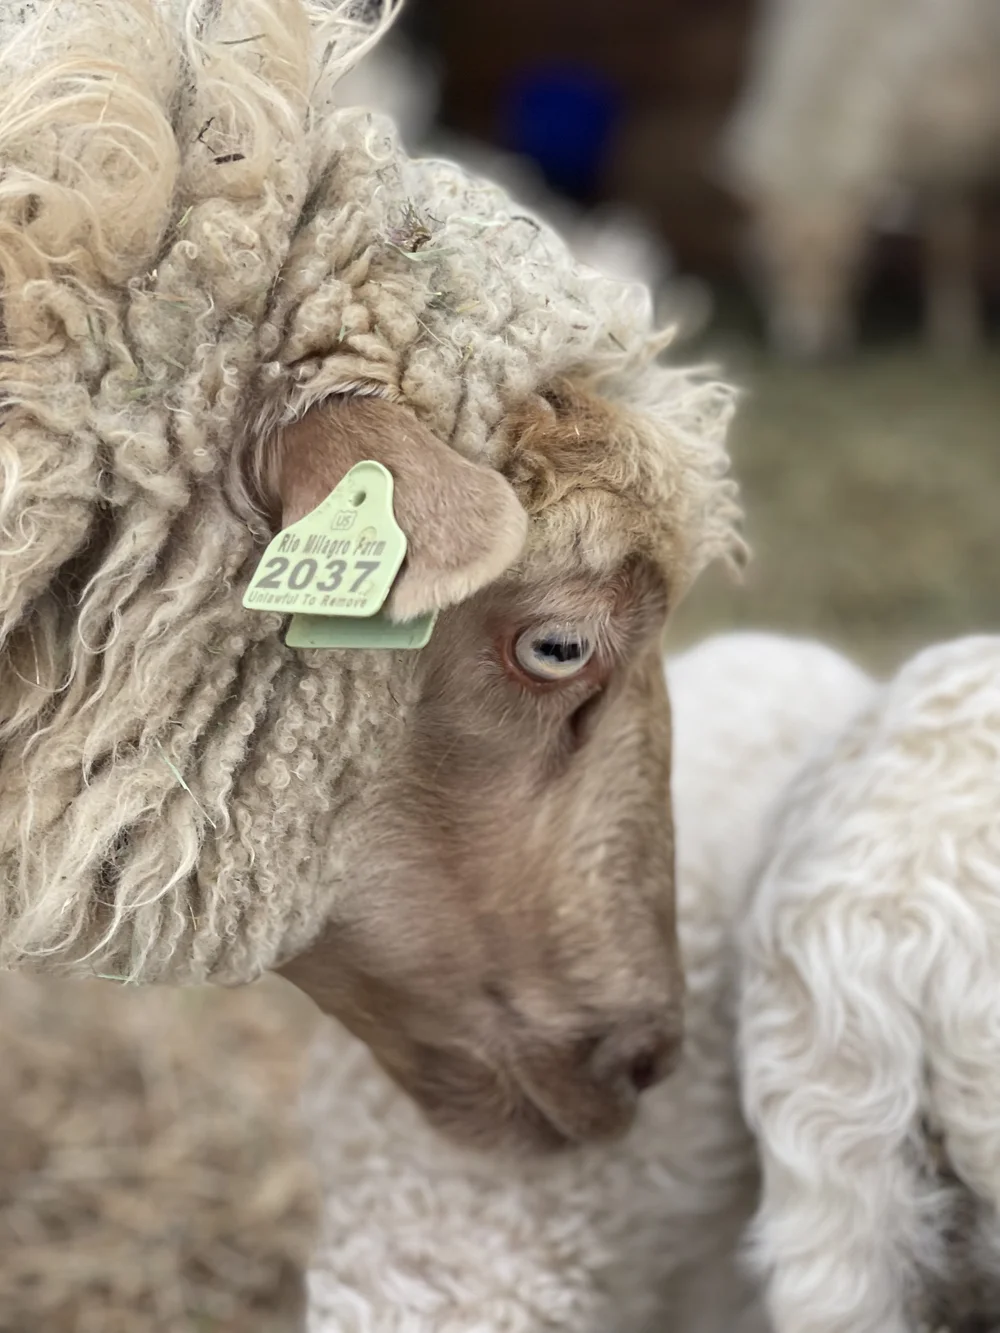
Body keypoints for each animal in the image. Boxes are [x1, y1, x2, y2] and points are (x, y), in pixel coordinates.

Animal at [720, 0, 1000, 357]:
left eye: (848, 263)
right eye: (770, 262)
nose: (810, 346)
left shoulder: (953, 150)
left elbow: (949, 243)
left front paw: (953, 332)